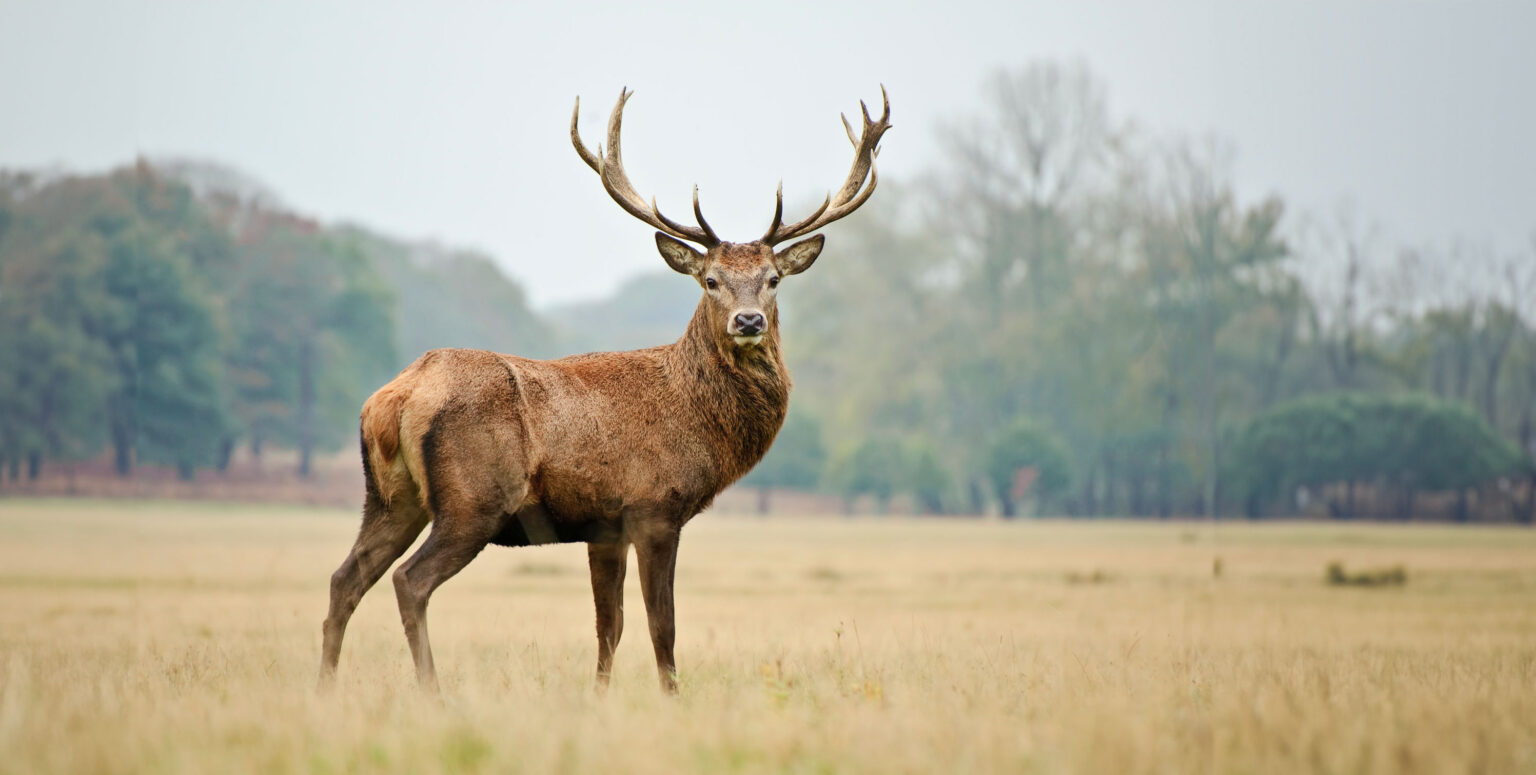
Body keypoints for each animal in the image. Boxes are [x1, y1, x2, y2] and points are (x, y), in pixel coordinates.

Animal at [317, 86, 890, 694]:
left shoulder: (604, 526)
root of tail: (395, 398)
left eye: (773, 279)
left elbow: (608, 626)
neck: (697, 420)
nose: (749, 320)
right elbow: (662, 625)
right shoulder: (654, 506)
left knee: (344, 578)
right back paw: (432, 692)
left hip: (390, 497)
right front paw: (671, 697)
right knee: (410, 581)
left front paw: (599, 696)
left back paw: (325, 687)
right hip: (473, 499)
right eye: (710, 280)